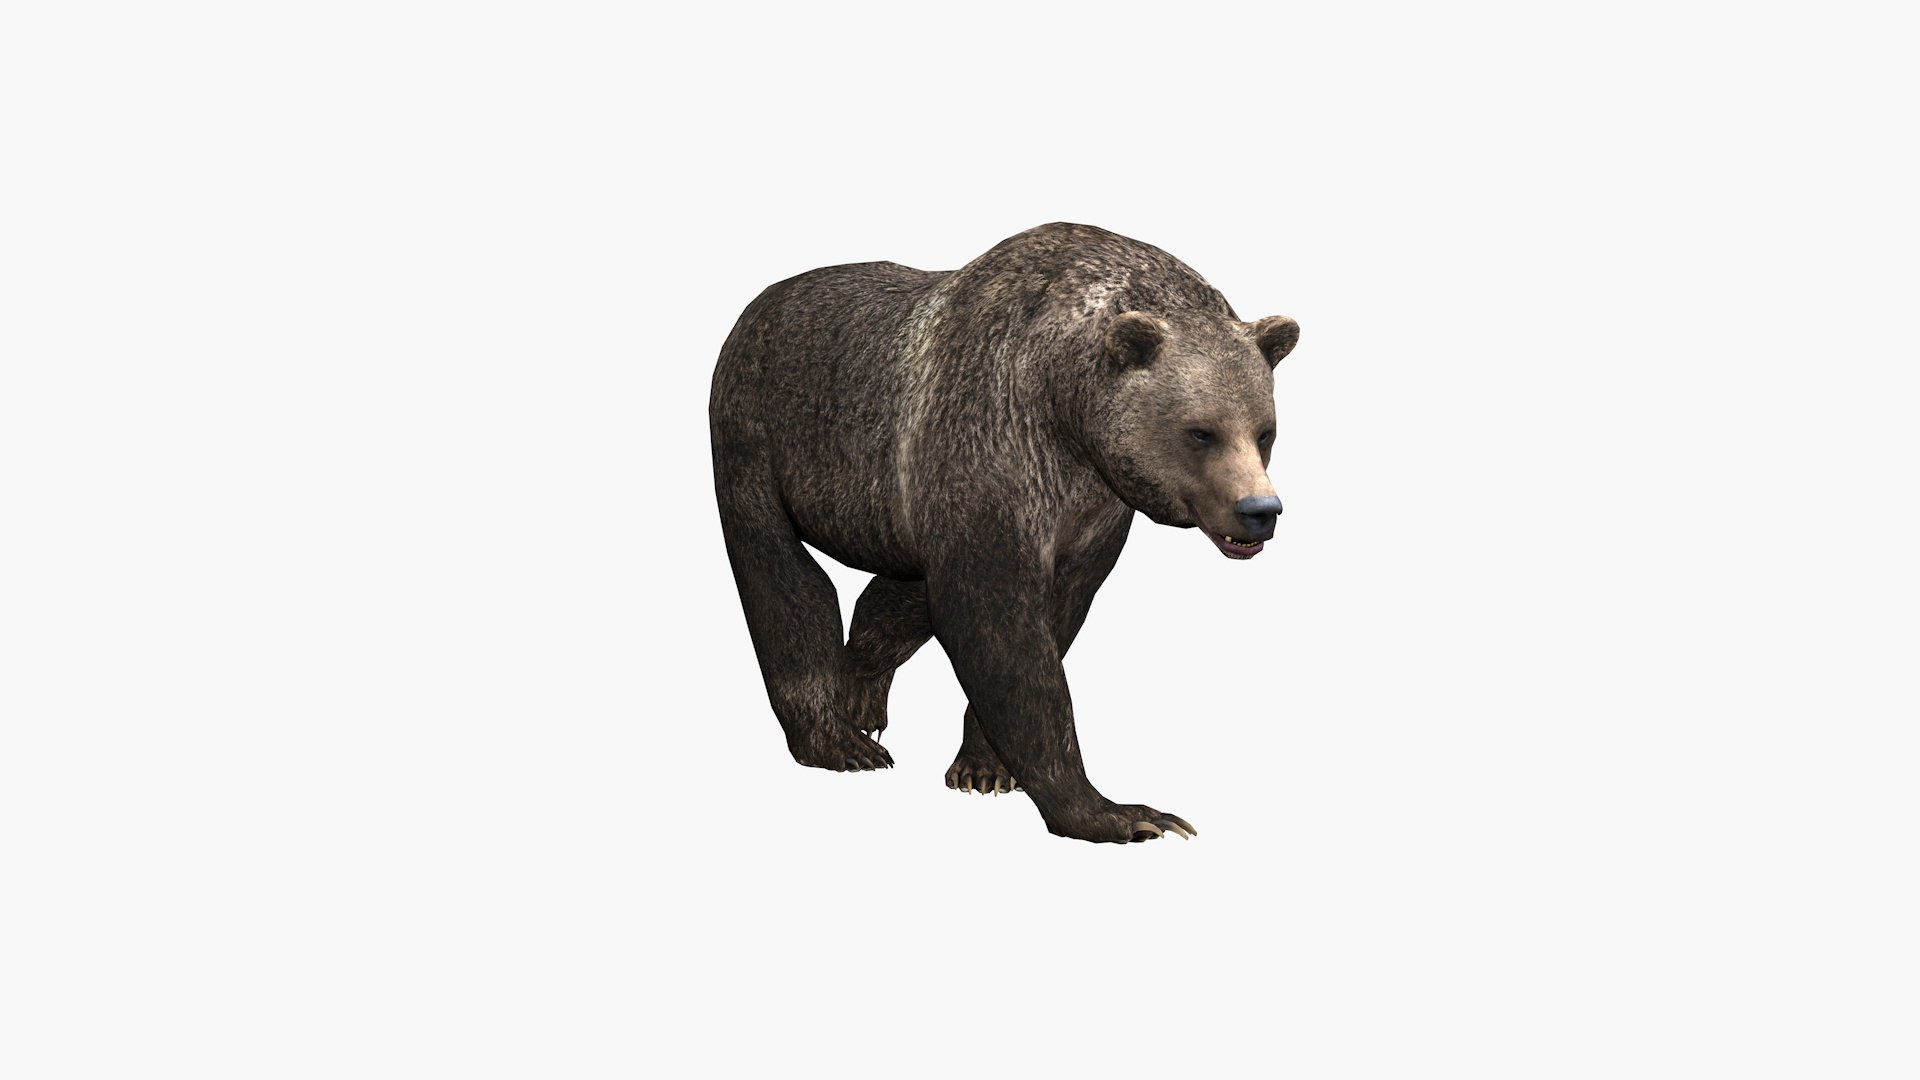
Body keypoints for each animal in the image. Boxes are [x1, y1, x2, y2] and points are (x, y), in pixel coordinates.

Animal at [709, 222, 1300, 843]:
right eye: (1201, 432)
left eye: (1264, 431)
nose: (1259, 509)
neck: (1067, 411)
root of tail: (760, 300)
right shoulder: (990, 444)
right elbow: (999, 629)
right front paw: (1127, 814)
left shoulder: (1088, 514)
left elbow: (1053, 614)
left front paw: (984, 768)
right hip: (755, 433)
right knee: (783, 577)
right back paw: (840, 742)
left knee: (899, 594)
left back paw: (863, 701)